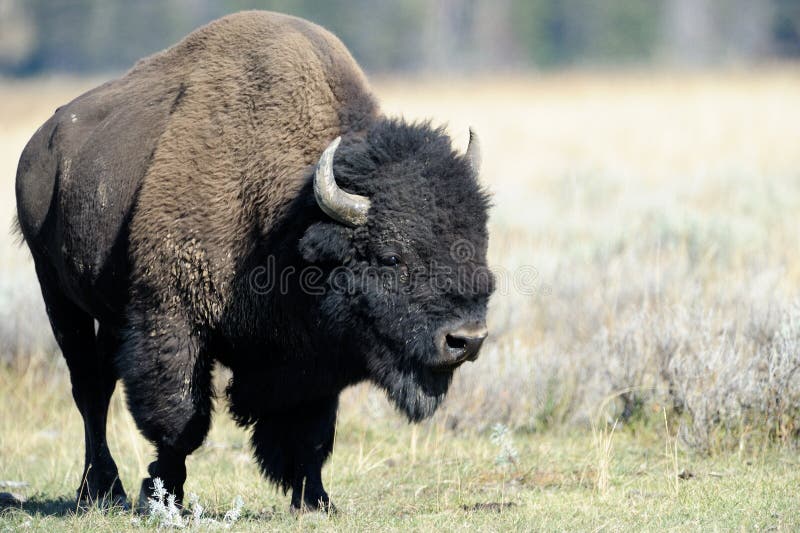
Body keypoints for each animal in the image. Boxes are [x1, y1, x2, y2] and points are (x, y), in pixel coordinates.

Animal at [14, 11, 492, 513]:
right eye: (391, 256)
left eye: (477, 242)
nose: (466, 339)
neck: (288, 220)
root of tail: (39, 145)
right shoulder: (173, 318)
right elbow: (180, 420)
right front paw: (162, 494)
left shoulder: (313, 355)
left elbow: (310, 432)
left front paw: (315, 499)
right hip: (56, 292)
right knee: (90, 387)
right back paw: (101, 488)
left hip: (109, 312)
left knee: (100, 380)